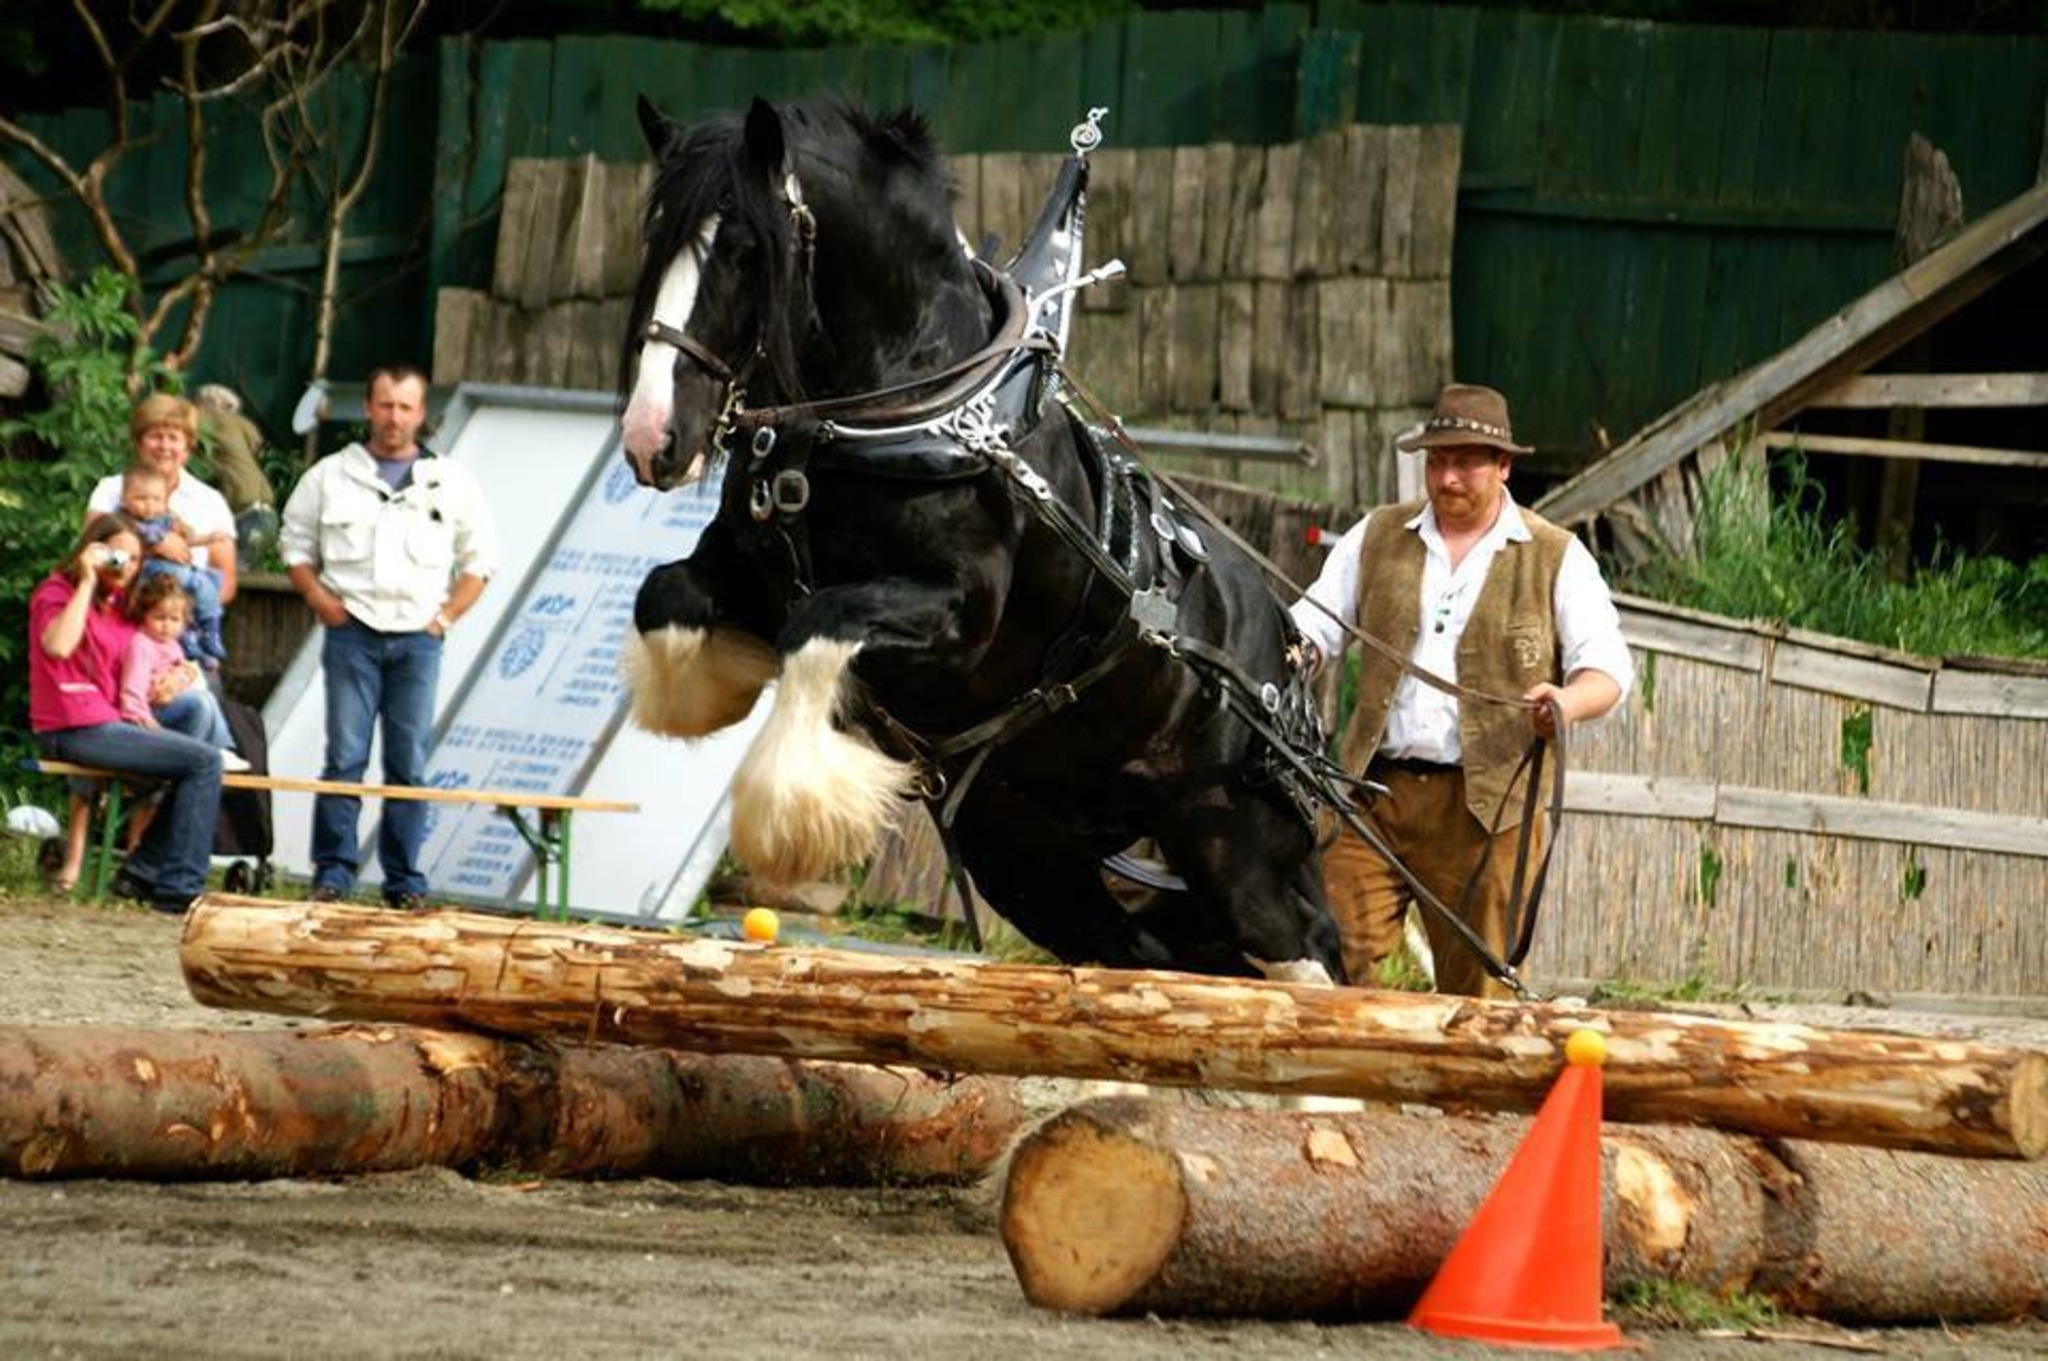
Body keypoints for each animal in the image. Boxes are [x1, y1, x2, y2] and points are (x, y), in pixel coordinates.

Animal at [617, 96, 1344, 983]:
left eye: (746, 251)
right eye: (658, 242)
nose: (651, 437)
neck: (900, 411)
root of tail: (1283, 640)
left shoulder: (959, 618)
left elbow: (818, 626)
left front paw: (795, 811)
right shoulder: (743, 574)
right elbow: (668, 593)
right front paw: (704, 695)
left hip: (1231, 836)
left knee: (1301, 951)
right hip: (1027, 852)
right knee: (1141, 950)